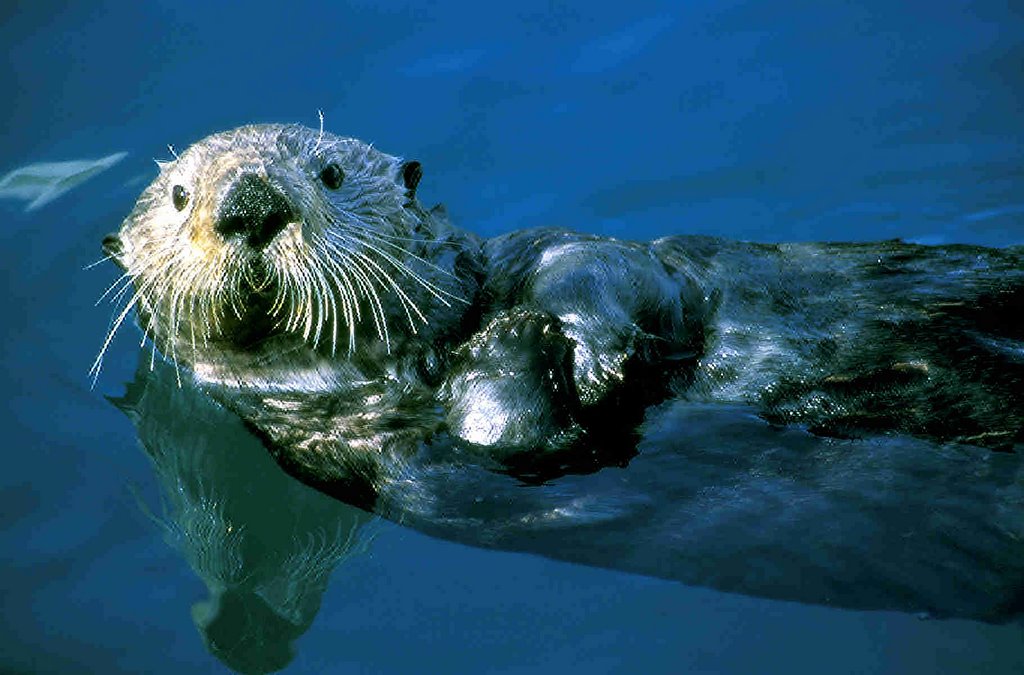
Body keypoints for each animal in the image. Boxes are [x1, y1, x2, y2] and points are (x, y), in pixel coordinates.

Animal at [98, 123, 1024, 513]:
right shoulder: (371, 456)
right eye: (179, 195)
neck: (416, 359)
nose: (249, 203)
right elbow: (513, 443)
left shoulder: (562, 252)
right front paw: (516, 347)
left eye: (327, 173)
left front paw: (582, 342)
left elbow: (598, 269)